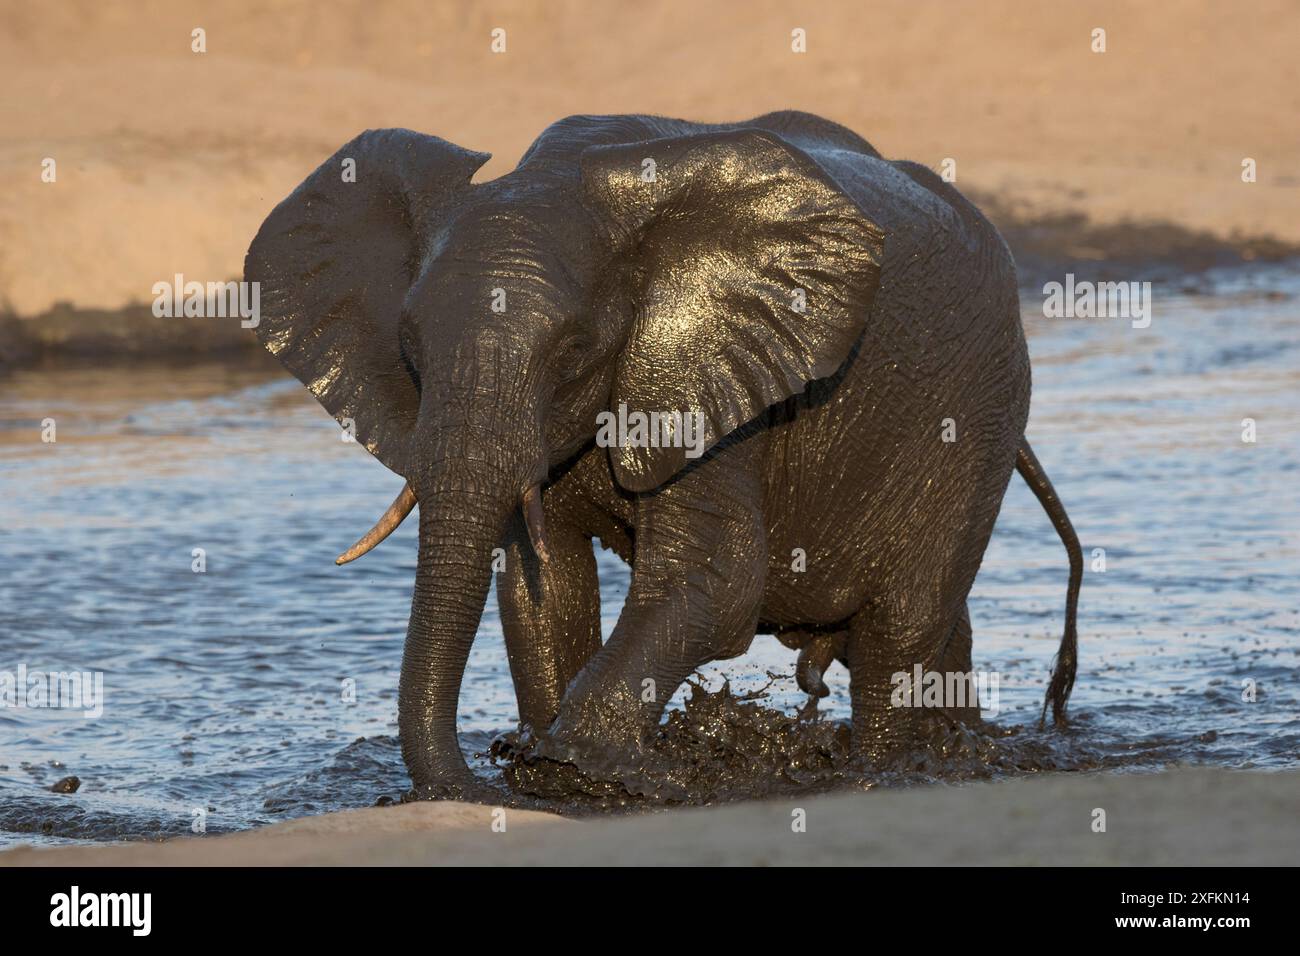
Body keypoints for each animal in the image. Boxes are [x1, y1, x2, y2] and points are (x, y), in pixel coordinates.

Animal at [244, 110, 1082, 798]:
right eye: (410, 348)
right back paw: (955, 753)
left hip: (977, 417)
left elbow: (718, 577)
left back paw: (884, 773)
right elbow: (543, 585)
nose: (477, 780)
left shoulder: (719, 386)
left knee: (896, 638)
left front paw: (578, 766)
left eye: (574, 350)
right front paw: (539, 767)